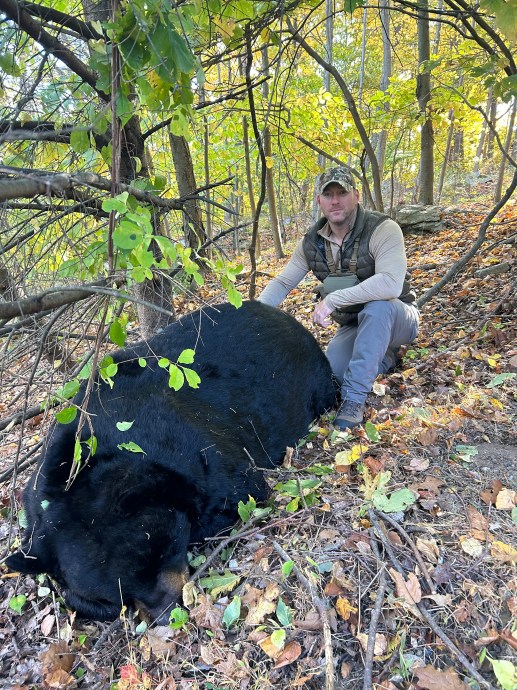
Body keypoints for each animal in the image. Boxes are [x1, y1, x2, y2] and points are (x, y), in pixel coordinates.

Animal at [6, 301, 336, 623]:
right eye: (116, 592)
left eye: (162, 554)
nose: (169, 614)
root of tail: (284, 316)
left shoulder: (196, 450)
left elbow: (238, 494)